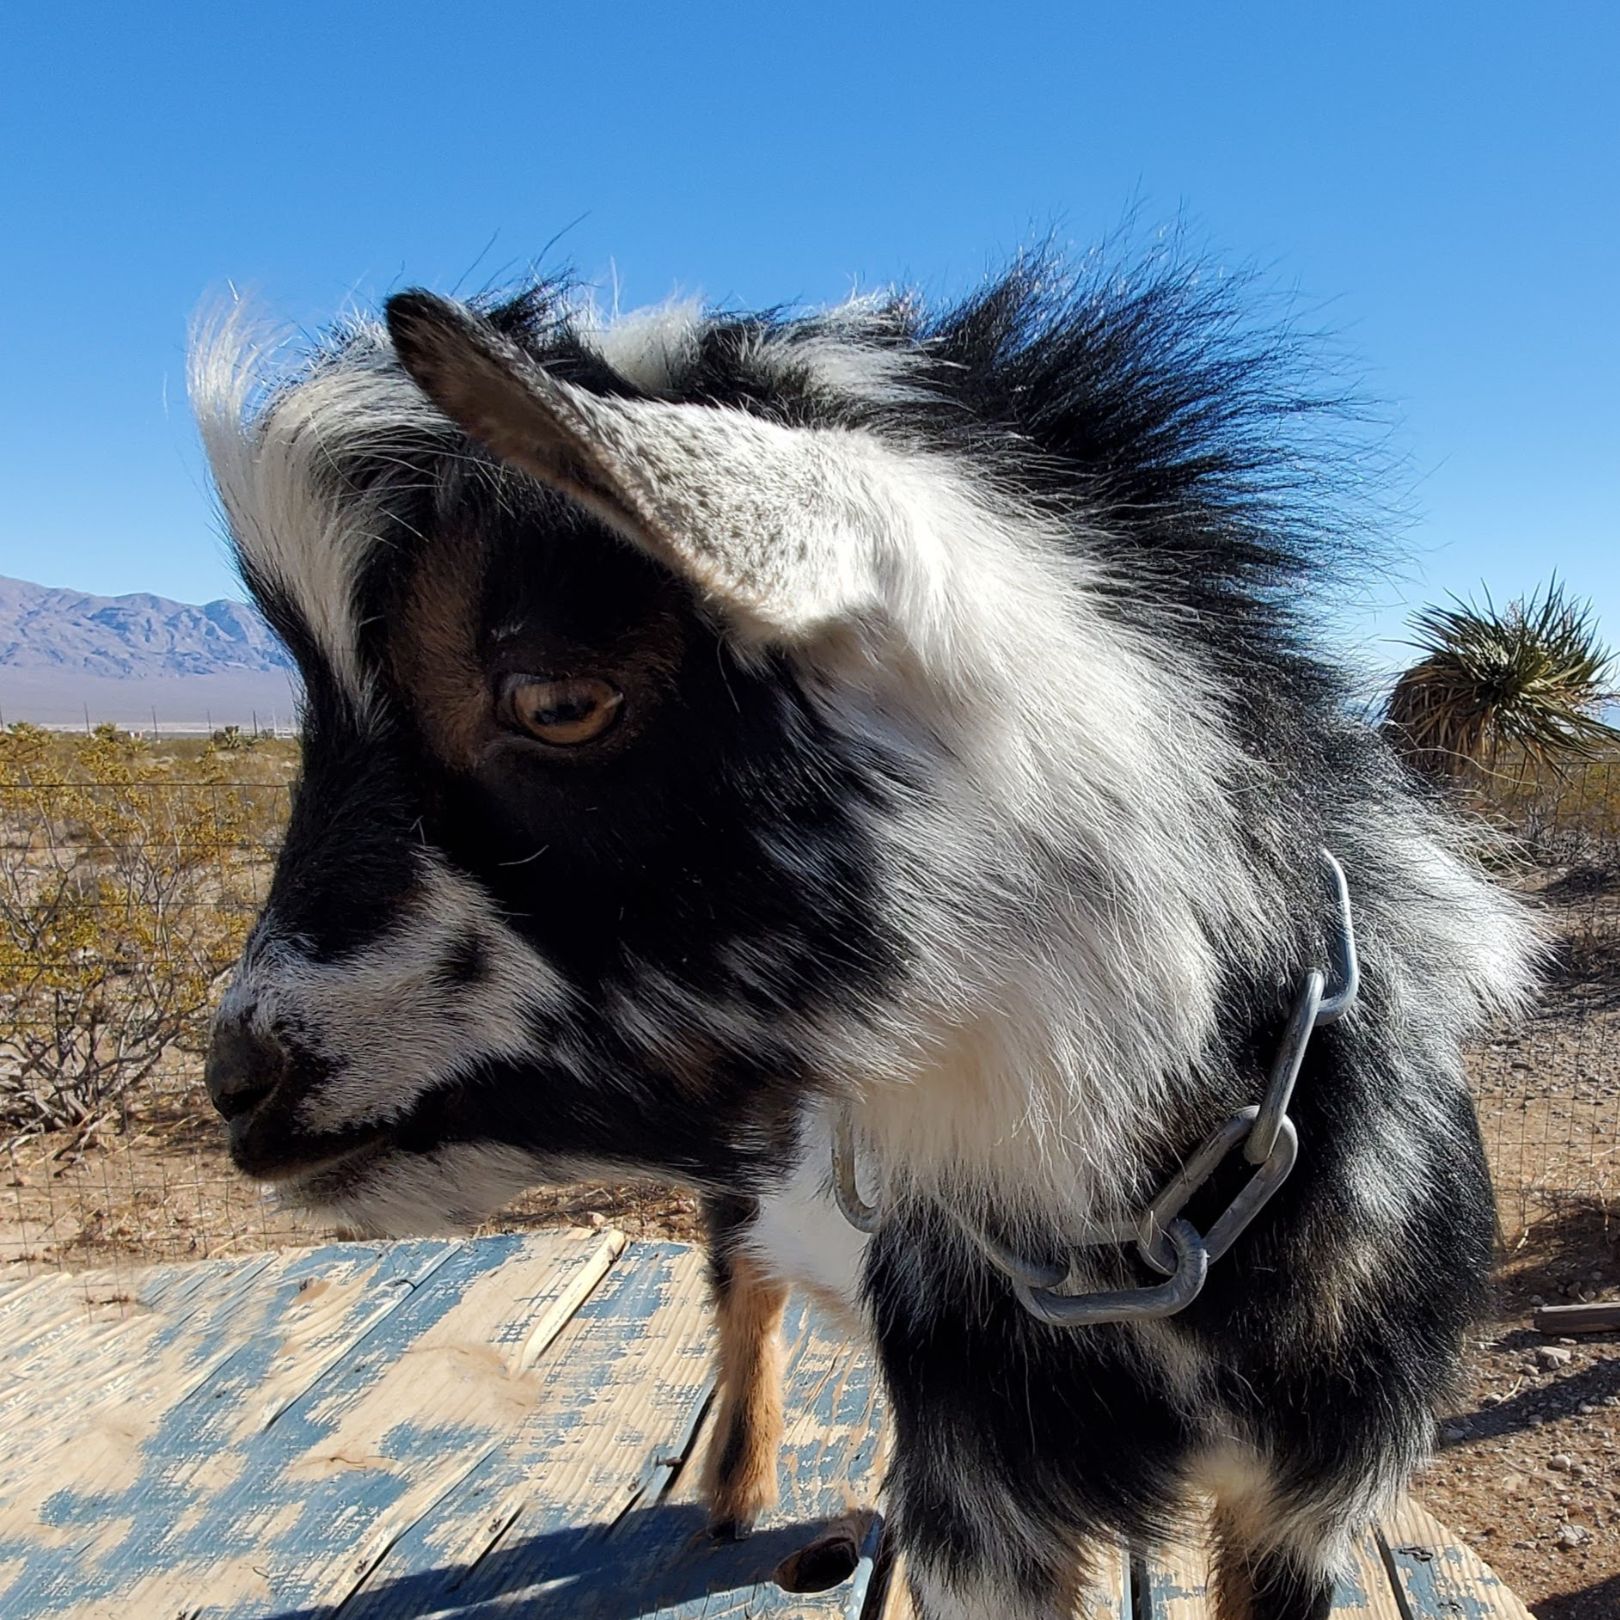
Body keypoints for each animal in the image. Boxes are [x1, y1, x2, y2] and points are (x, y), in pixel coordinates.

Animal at [194, 248, 1537, 1620]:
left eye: (557, 698)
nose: (239, 1077)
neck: (1169, 1227)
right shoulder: (983, 1510)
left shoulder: (1313, 1500)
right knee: (739, 1284)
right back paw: (733, 1489)